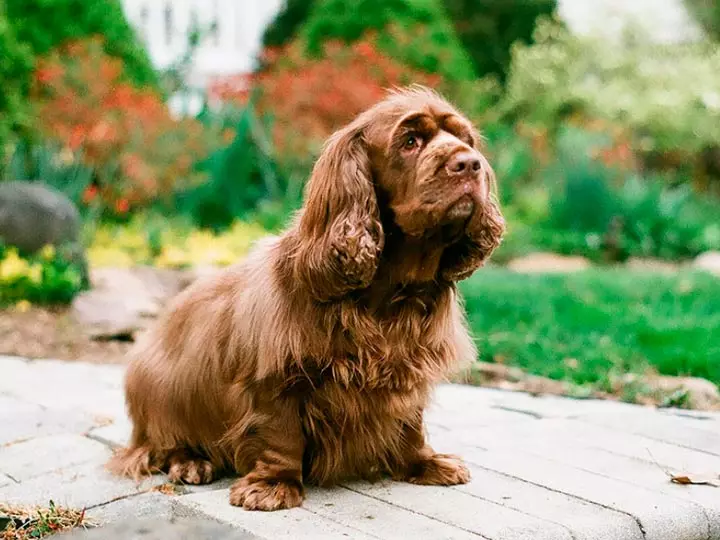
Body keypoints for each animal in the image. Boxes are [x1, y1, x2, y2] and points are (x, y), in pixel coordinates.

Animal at [108, 84, 506, 510]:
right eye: (410, 141)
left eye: (466, 140)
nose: (470, 163)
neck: (391, 288)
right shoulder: (277, 374)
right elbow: (281, 435)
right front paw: (273, 485)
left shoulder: (409, 364)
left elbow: (410, 422)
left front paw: (423, 462)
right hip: (163, 385)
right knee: (157, 444)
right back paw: (191, 461)